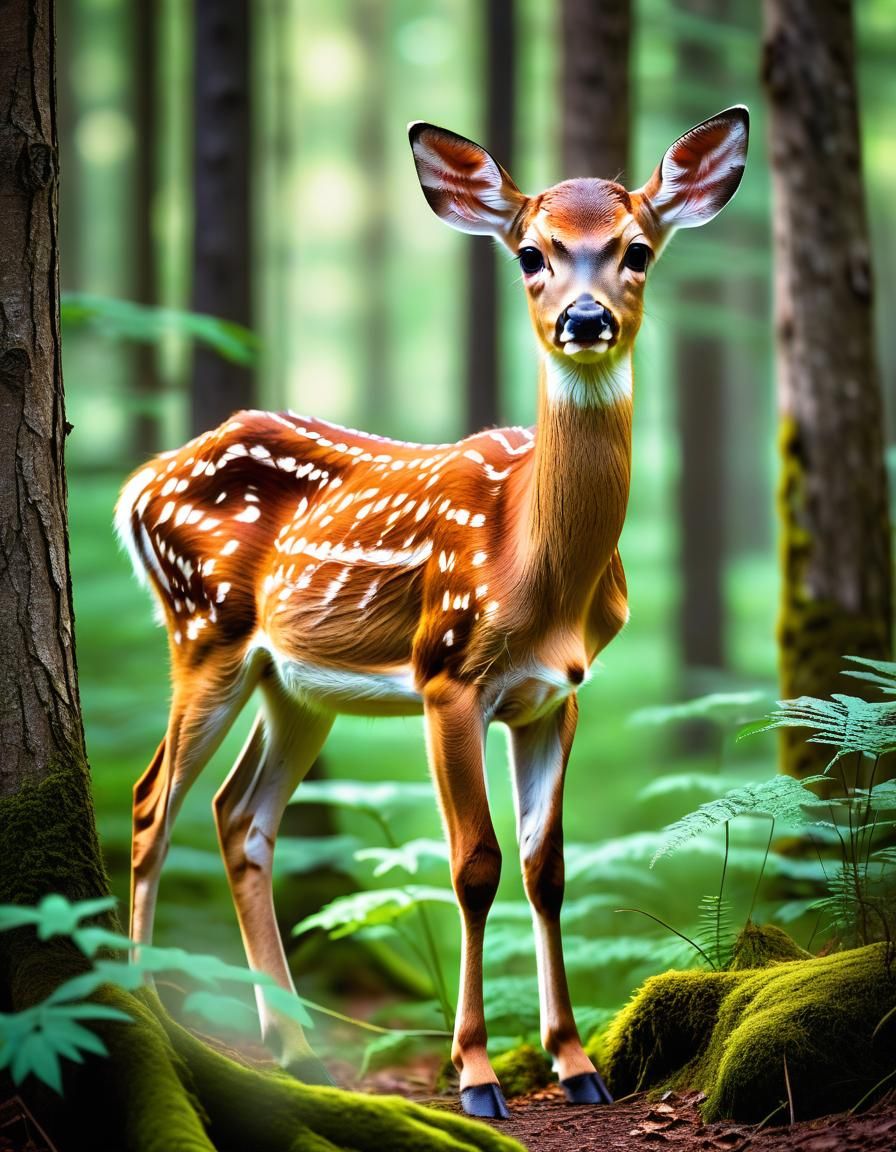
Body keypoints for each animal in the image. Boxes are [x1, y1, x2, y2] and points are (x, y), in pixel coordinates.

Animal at [115, 106, 748, 1118]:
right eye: (531, 253)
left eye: (637, 250)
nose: (584, 319)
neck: (537, 572)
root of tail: (139, 484)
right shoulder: (447, 671)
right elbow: (474, 865)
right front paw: (478, 1076)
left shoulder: (556, 693)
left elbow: (546, 867)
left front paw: (577, 1064)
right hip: (202, 628)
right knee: (151, 803)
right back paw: (154, 1020)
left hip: (295, 686)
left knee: (238, 816)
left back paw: (297, 1051)